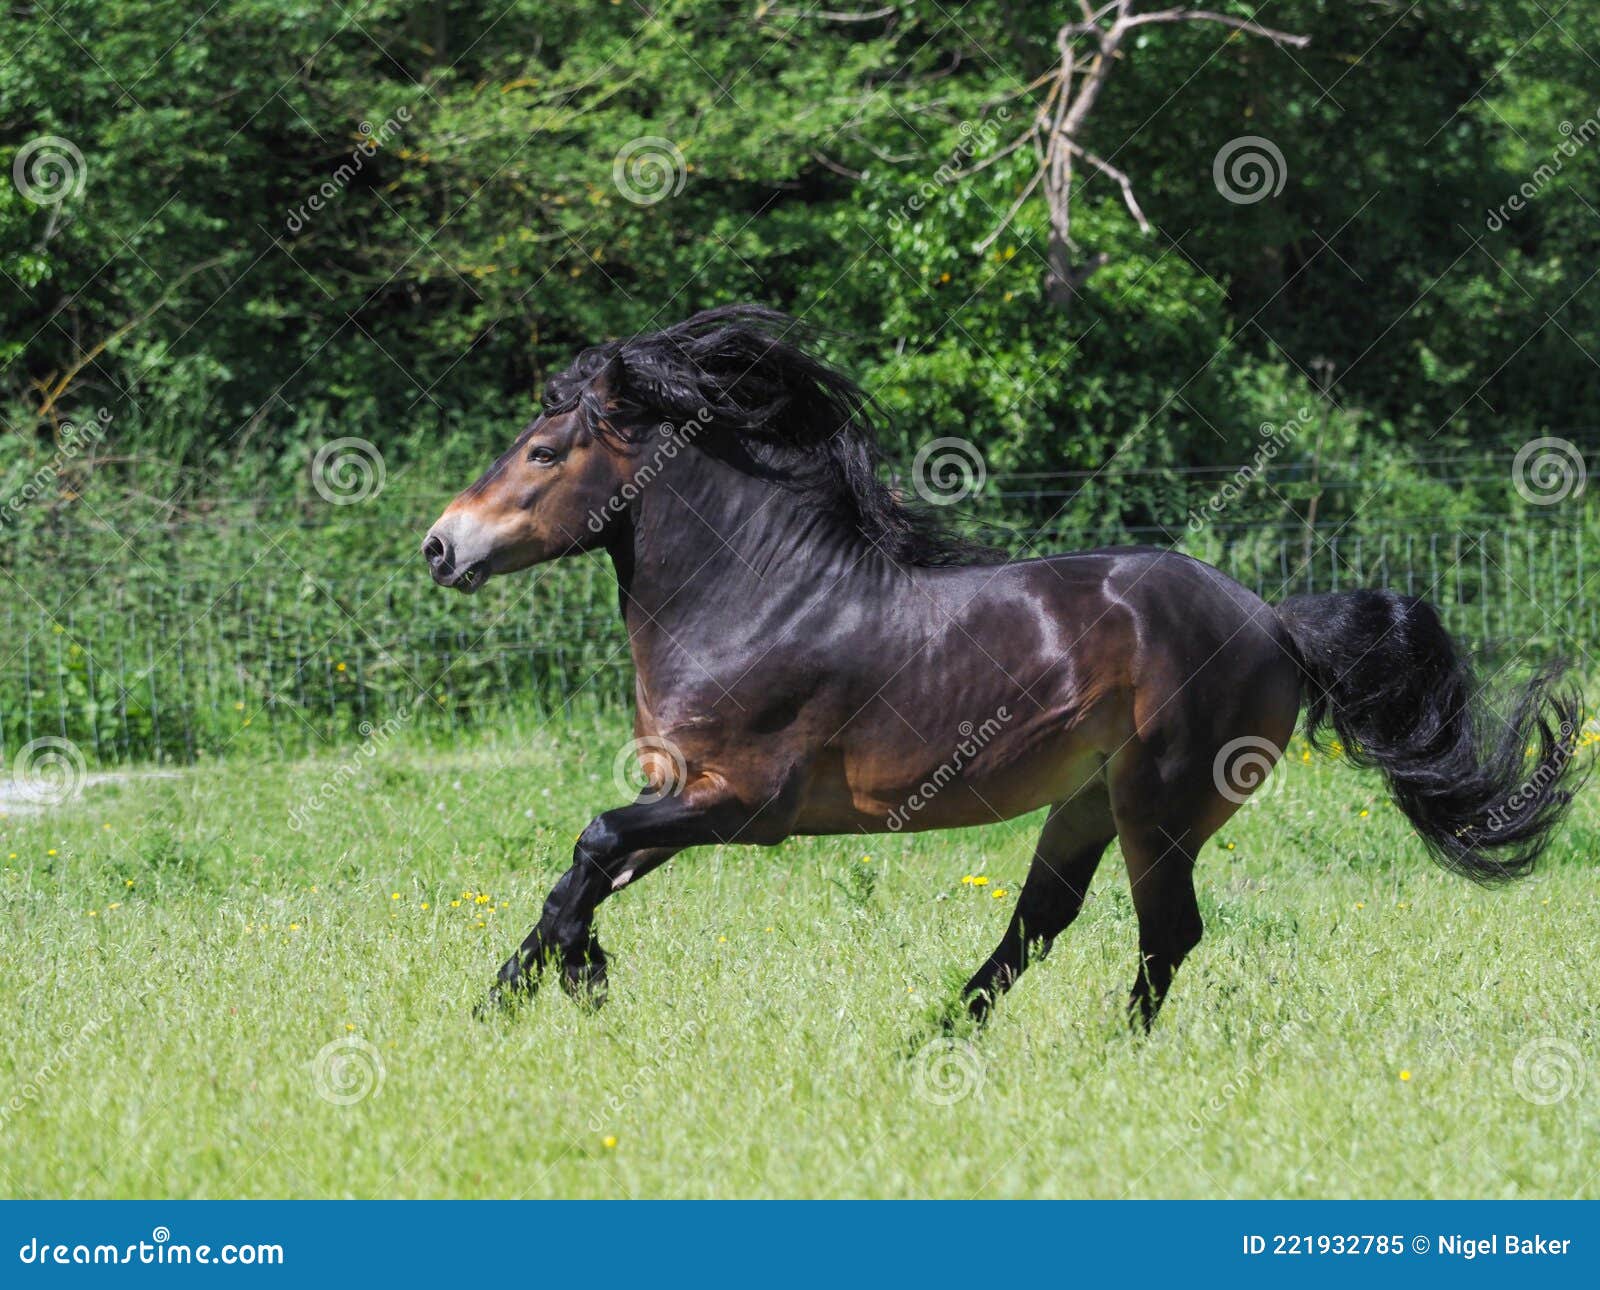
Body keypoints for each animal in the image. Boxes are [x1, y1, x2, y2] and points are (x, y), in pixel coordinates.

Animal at [423, 305, 1583, 1029]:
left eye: (544, 452)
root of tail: (1270, 619)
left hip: (1158, 806)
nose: (441, 546)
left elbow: (591, 843)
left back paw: (1105, 1055)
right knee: (1040, 924)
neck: (756, 600)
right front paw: (512, 996)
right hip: (1086, 805)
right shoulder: (682, 795)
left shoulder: (744, 805)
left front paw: (574, 980)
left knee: (1165, 933)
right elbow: (583, 874)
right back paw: (937, 1036)